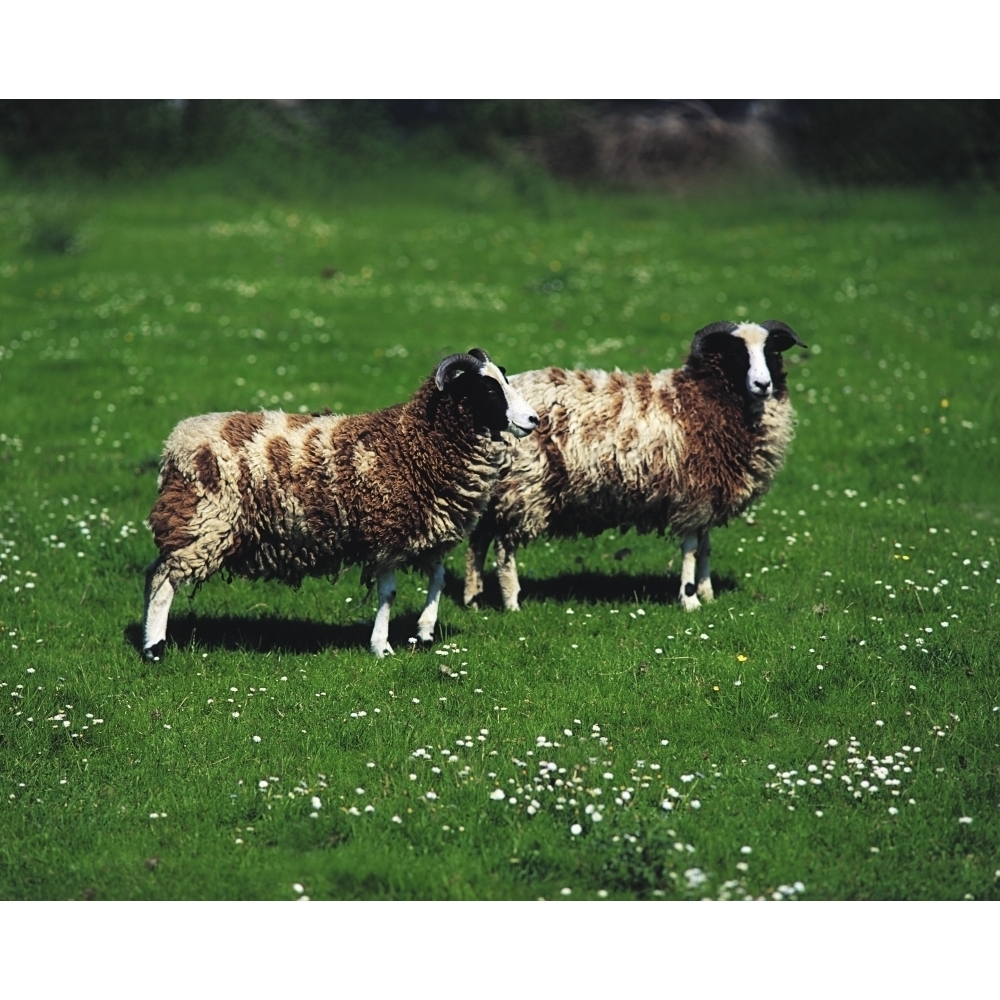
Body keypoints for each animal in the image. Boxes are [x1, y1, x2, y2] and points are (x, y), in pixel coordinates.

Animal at [141, 349, 538, 661]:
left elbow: (438, 579)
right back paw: (153, 647)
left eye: (504, 379)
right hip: (202, 522)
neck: (413, 441)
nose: (533, 420)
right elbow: (389, 593)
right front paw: (381, 646)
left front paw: (425, 631)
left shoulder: (425, 532)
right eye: (488, 388)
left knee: (153, 574)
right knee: (164, 581)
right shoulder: (387, 535)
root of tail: (175, 442)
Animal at [463, 320, 806, 613]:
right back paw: (512, 602)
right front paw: (690, 599)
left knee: (478, 539)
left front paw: (707, 594)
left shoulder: (708, 495)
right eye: (737, 353)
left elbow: (705, 547)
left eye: (772, 352)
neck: (704, 400)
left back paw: (473, 598)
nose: (763, 384)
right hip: (525, 487)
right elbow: (691, 548)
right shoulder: (691, 495)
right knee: (504, 547)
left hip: (498, 489)